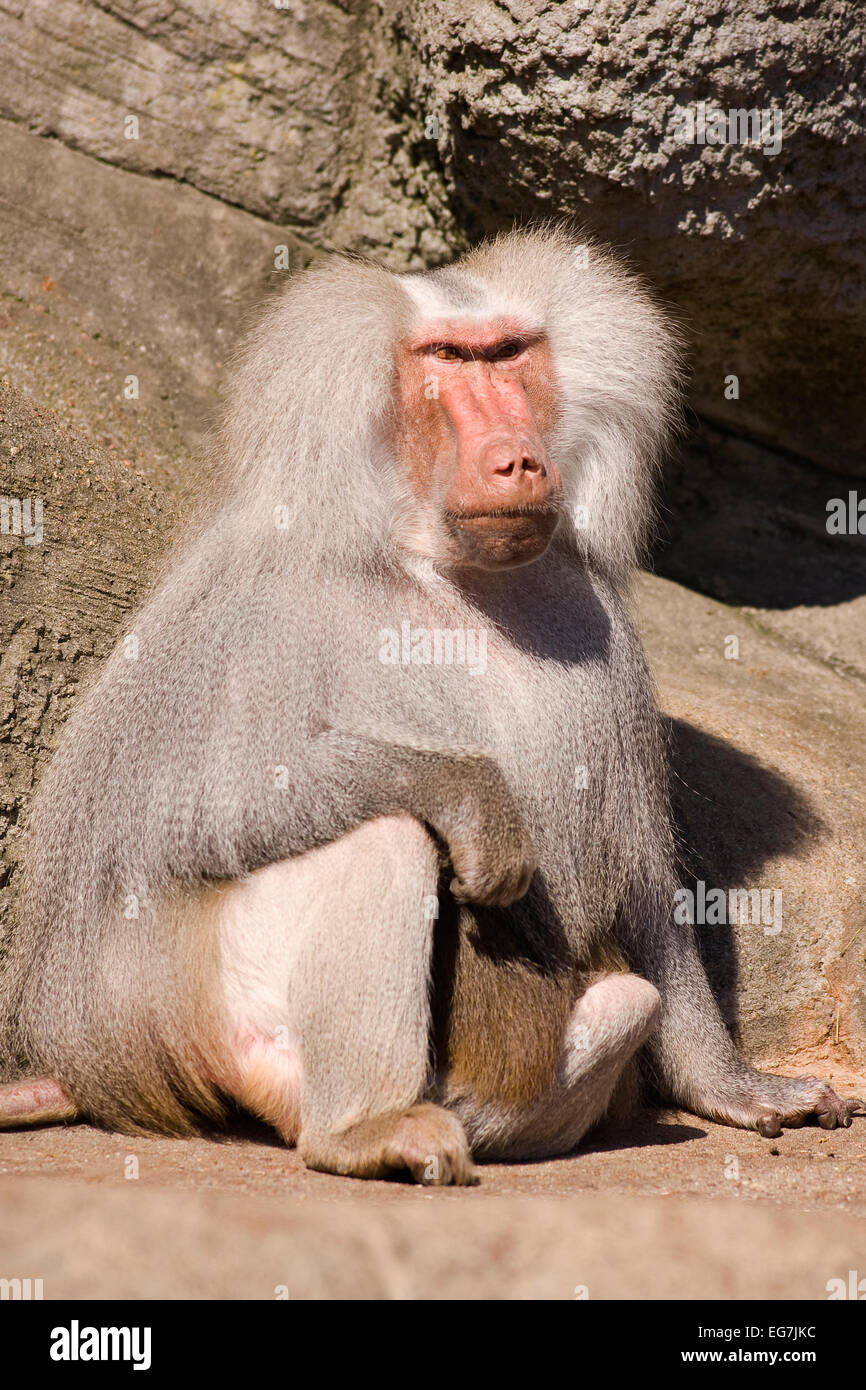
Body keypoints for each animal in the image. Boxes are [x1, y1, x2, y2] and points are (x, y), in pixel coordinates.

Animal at [0, 226, 861, 1185]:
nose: (517, 458)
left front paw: (736, 1089)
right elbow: (200, 812)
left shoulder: (596, 620)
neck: (442, 569)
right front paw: (481, 806)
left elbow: (641, 884)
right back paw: (365, 1130)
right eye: (446, 360)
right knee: (382, 836)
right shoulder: (263, 607)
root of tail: (92, 1058)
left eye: (510, 354)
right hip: (176, 1010)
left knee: (627, 999)